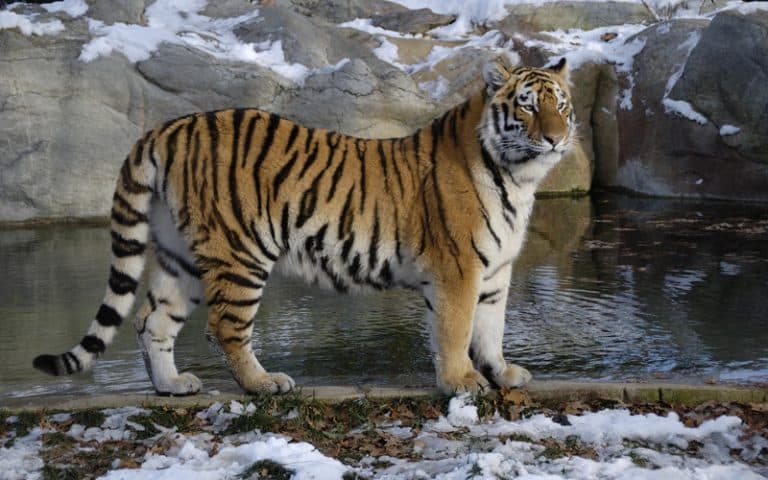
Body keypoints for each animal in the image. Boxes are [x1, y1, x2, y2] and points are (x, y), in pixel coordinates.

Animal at [33, 58, 575, 395]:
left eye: (562, 105)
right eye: (527, 104)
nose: (556, 138)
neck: (518, 177)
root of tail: (169, 126)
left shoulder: (495, 272)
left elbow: (491, 328)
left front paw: (503, 372)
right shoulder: (457, 270)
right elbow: (457, 330)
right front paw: (461, 383)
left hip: (180, 255)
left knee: (152, 320)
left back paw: (172, 386)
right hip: (241, 252)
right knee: (224, 327)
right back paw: (264, 384)